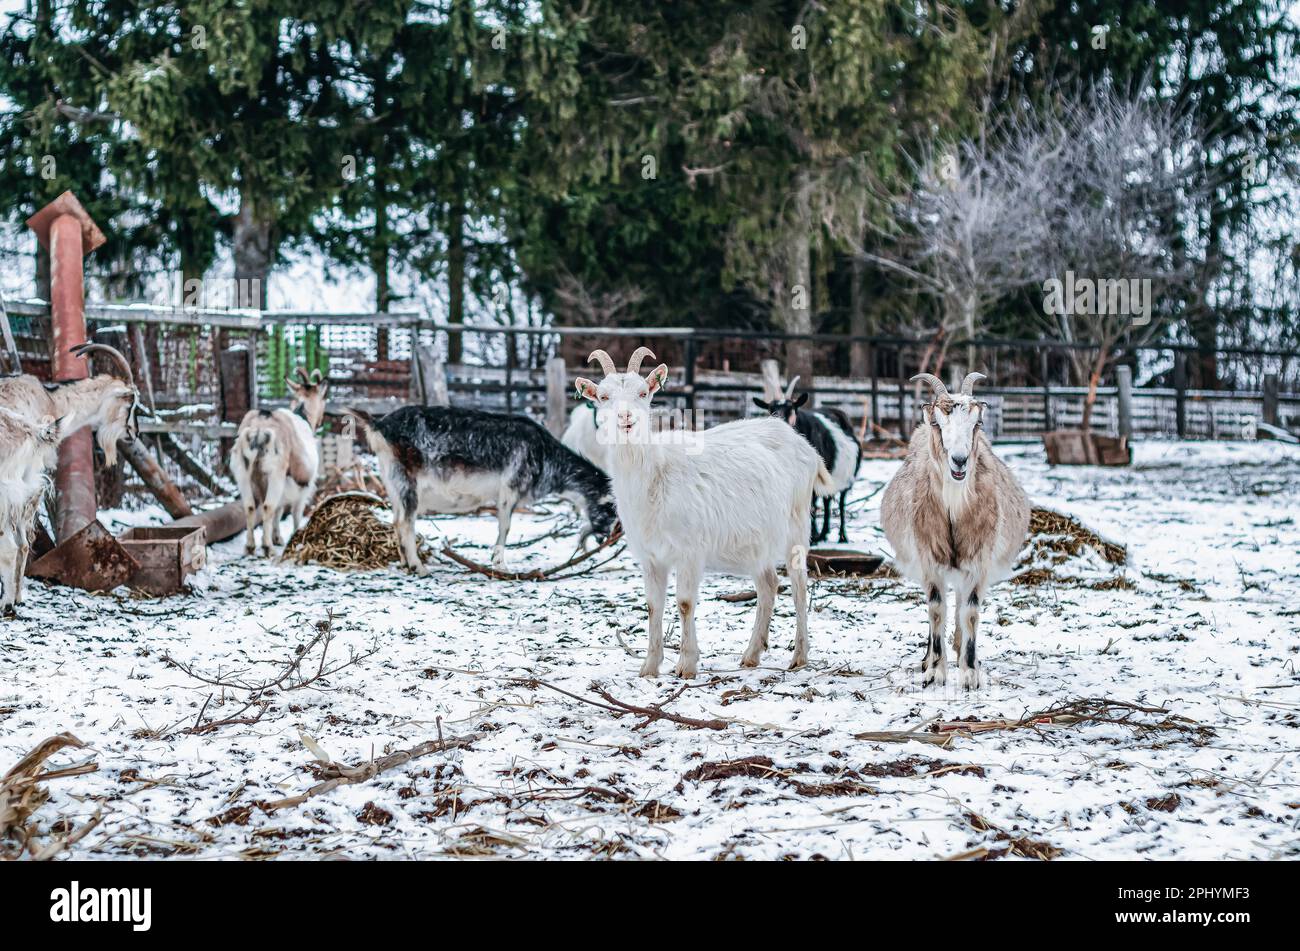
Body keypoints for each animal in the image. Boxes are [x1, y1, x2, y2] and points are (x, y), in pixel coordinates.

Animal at [230, 369, 328, 556]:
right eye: (323, 399)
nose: (320, 421)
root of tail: (259, 429)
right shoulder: (304, 484)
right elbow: (295, 512)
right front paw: (296, 536)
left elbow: (279, 508)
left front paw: (277, 537)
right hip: (275, 472)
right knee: (268, 506)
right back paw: (268, 547)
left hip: (243, 472)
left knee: (250, 506)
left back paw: (250, 546)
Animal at [346, 404, 619, 575]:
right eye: (611, 510)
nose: (604, 539)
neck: (546, 456)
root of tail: (380, 425)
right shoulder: (511, 487)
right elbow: (505, 526)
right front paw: (501, 564)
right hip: (407, 480)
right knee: (405, 521)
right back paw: (418, 567)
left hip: (392, 480)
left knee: (395, 519)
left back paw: (404, 563)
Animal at [576, 347, 835, 678]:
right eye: (603, 396)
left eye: (643, 392)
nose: (625, 418)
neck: (654, 474)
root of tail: (807, 448)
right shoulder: (651, 556)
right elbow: (652, 605)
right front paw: (649, 667)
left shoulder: (690, 550)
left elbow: (685, 603)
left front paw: (686, 665)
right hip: (758, 540)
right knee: (768, 585)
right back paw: (751, 655)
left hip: (797, 524)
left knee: (800, 586)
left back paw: (799, 657)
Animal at [753, 376, 861, 544]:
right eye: (771, 409)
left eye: (791, 408)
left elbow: (812, 504)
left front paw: (811, 536)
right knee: (827, 500)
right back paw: (823, 533)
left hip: (847, 476)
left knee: (841, 502)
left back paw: (842, 536)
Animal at [880, 372, 1029, 689]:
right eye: (938, 423)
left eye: (977, 424)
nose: (959, 460)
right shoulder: (928, 559)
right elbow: (936, 609)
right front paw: (935, 671)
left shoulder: (979, 560)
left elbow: (970, 612)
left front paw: (970, 672)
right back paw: (929, 659)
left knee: (960, 603)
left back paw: (960, 651)